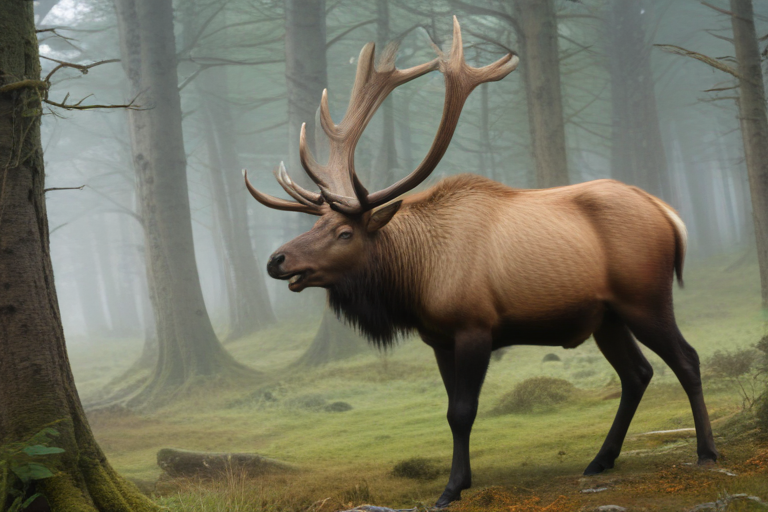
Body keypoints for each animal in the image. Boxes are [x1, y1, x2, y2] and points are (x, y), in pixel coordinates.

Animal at [243, 17, 718, 508]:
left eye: (344, 232)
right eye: (317, 223)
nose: (277, 260)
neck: (416, 278)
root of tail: (669, 215)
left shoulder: (475, 326)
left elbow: (462, 410)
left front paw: (452, 487)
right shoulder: (438, 338)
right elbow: (450, 409)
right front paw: (462, 478)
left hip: (644, 297)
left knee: (686, 358)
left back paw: (706, 451)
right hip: (606, 316)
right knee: (637, 373)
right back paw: (600, 459)